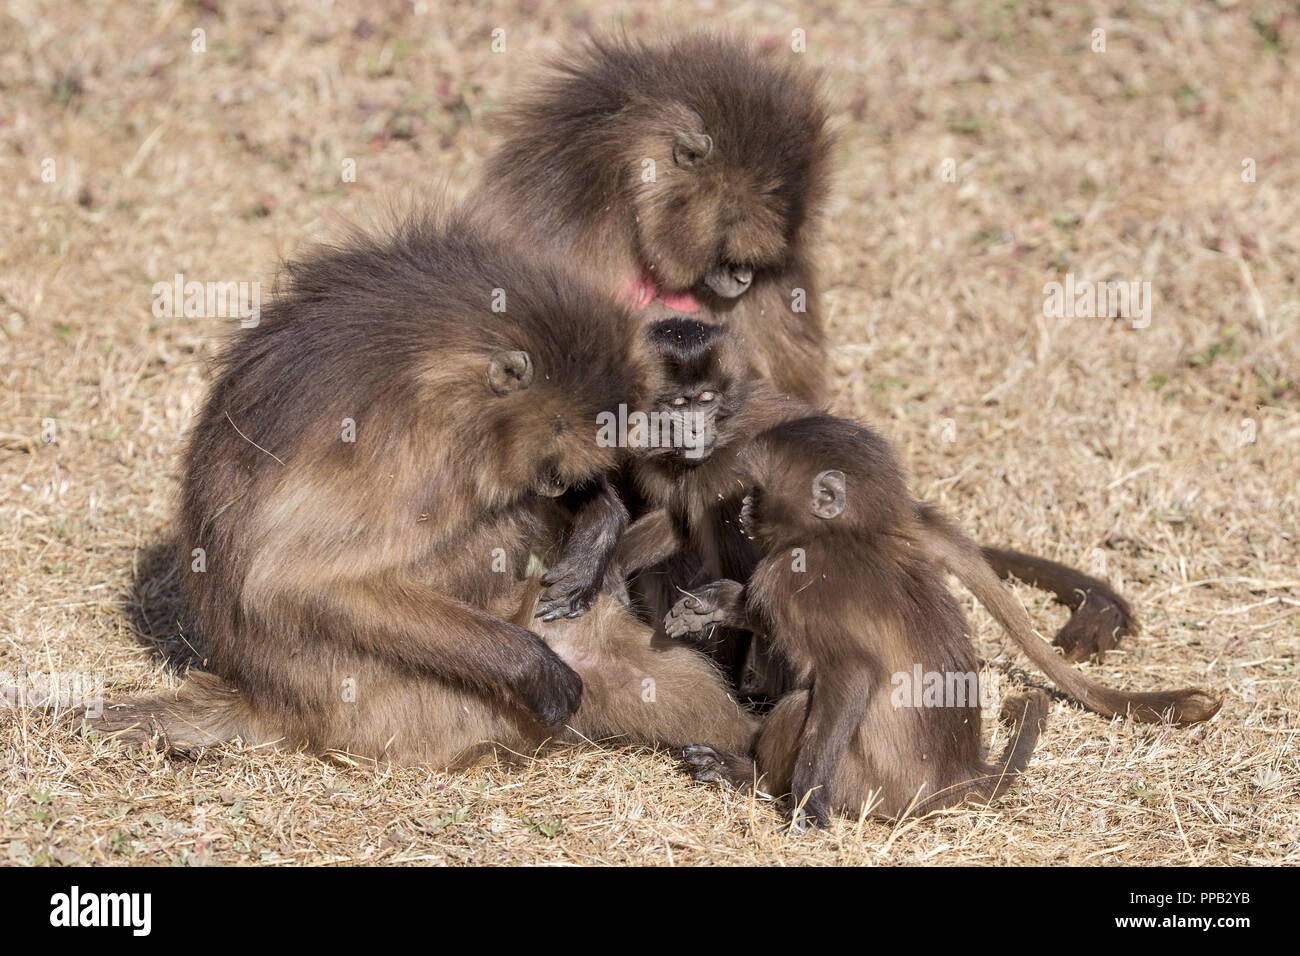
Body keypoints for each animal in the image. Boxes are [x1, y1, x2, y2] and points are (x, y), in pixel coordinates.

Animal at [84, 208, 757, 765]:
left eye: (559, 472)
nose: (555, 484)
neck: (452, 370)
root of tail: (271, 701)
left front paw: (598, 526)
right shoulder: (408, 447)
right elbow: (303, 582)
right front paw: (535, 669)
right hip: (413, 709)